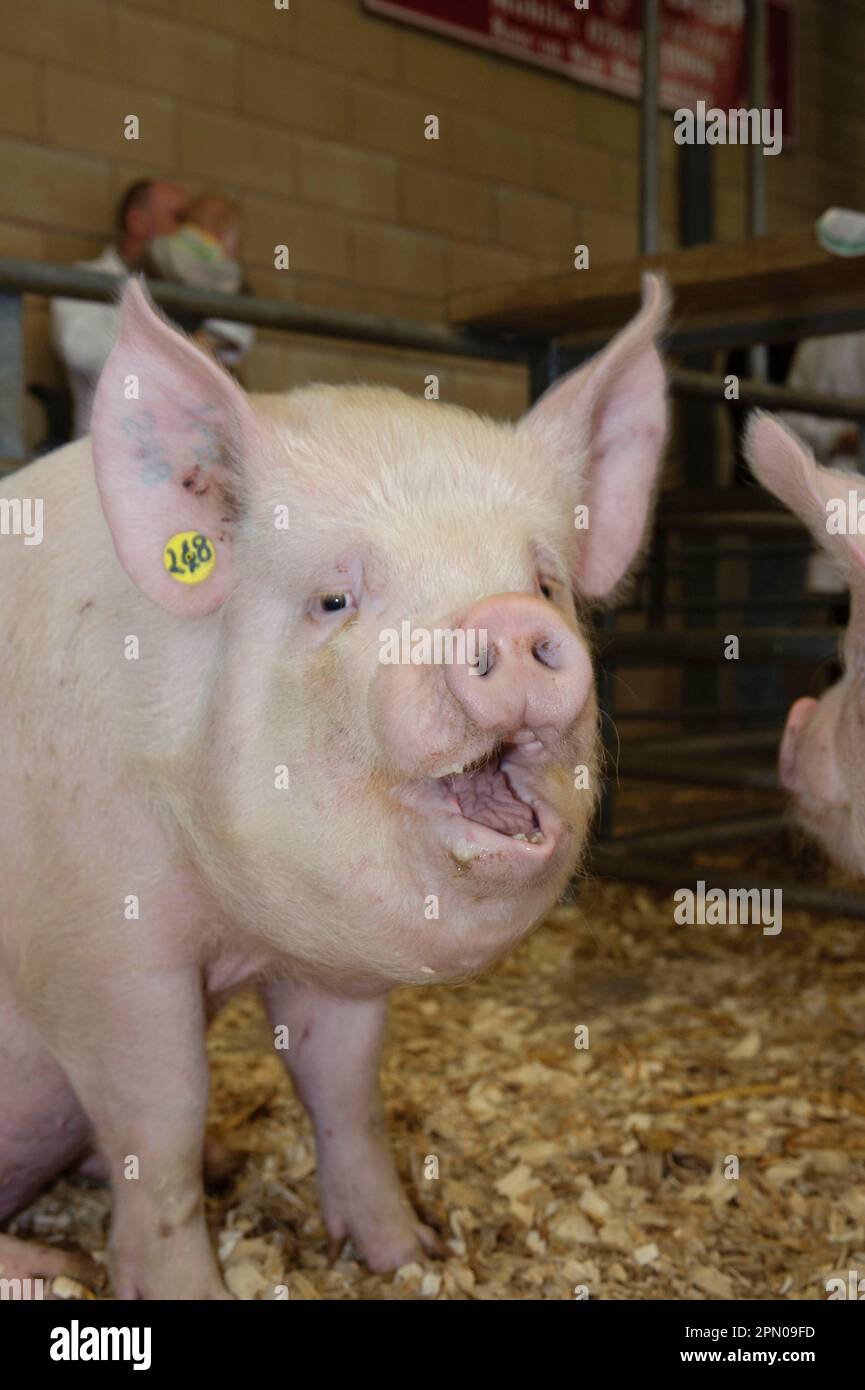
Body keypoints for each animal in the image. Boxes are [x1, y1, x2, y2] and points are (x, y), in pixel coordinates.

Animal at [0, 274, 667, 1299]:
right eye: (334, 599)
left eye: (545, 583)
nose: (508, 620)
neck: (241, 935)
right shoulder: (94, 945)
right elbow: (161, 1118)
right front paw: (193, 1289)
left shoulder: (334, 972)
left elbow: (345, 1090)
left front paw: (410, 1256)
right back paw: (45, 1264)